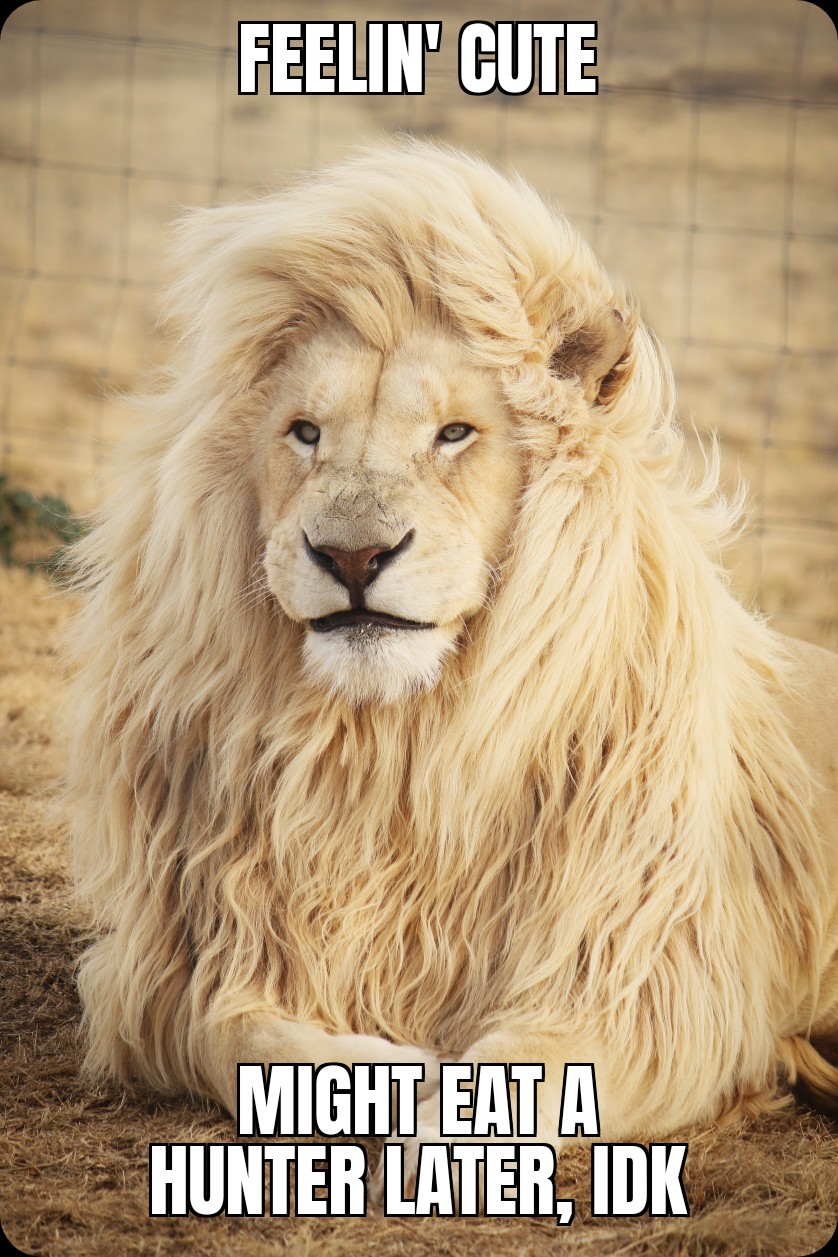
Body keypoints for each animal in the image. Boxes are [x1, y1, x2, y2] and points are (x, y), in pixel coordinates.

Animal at [66, 141, 838, 1188]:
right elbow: (239, 1033)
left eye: (454, 433)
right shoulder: (178, 968)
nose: (351, 556)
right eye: (305, 431)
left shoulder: (650, 978)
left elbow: (527, 1072)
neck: (394, 746)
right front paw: (379, 1075)